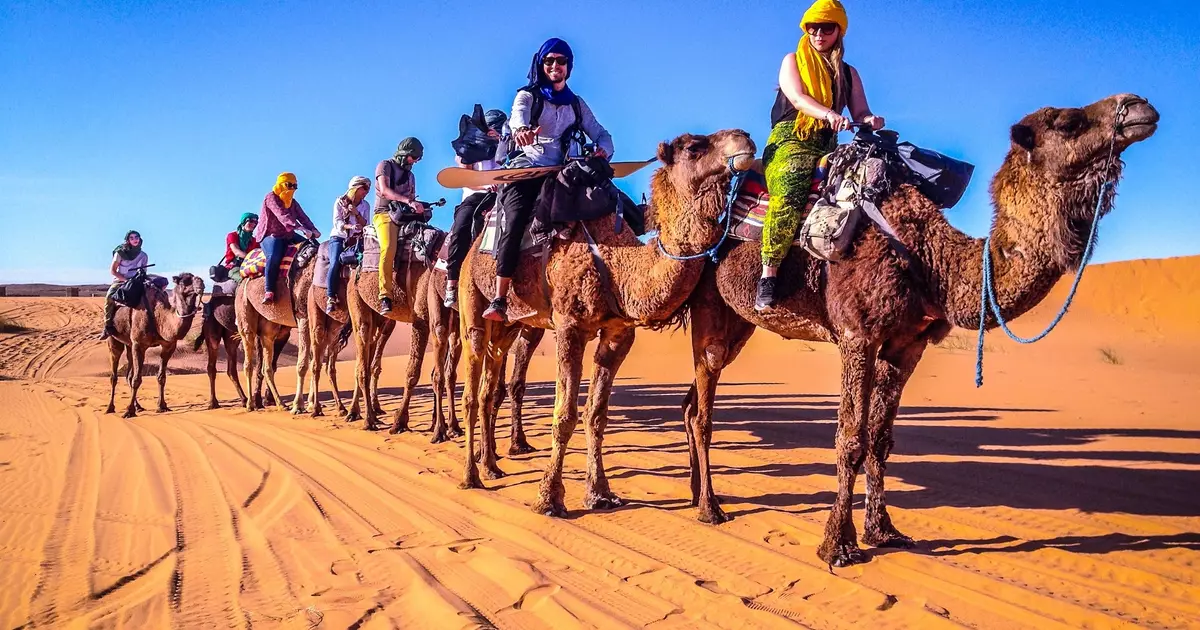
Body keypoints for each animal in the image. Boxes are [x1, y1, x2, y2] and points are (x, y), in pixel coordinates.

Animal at [105, 273, 206, 417]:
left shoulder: (168, 346)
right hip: (114, 340)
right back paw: (110, 407)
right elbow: (137, 379)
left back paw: (138, 406)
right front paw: (129, 411)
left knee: (128, 374)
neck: (159, 316)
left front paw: (162, 406)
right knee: (114, 374)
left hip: (129, 344)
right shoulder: (139, 344)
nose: (200, 282)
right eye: (184, 281)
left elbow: (161, 377)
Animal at [458, 129, 758, 516]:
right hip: (471, 301)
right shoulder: (569, 325)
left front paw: (599, 493)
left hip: (508, 325)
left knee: (488, 385)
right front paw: (549, 499)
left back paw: (491, 465)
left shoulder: (618, 333)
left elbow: (596, 413)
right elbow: (565, 414)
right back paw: (471, 475)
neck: (617, 265)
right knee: (471, 386)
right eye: (694, 147)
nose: (744, 138)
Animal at [681, 92, 1156, 564]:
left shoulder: (907, 345)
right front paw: (838, 544)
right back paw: (710, 509)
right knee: (703, 407)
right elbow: (850, 438)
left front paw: (884, 531)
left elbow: (879, 440)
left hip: (740, 323)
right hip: (709, 303)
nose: (1139, 105)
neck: (929, 261)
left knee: (692, 403)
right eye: (1070, 122)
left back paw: (695, 494)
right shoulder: (858, 336)